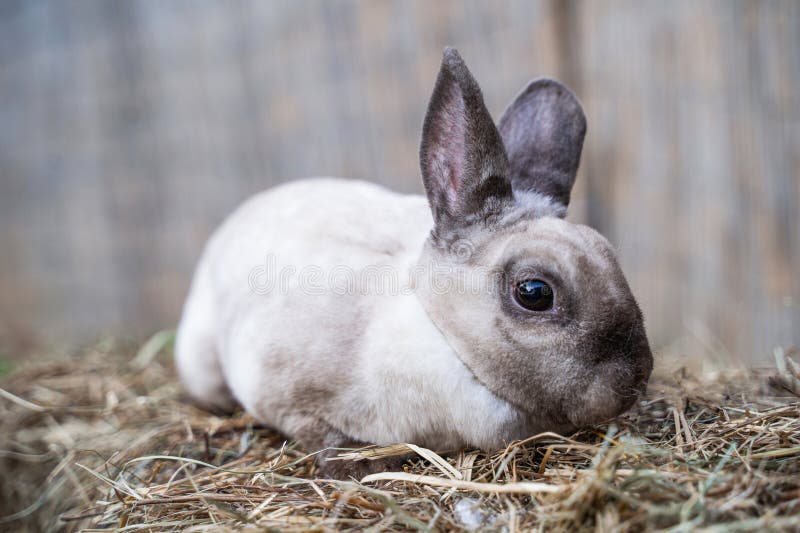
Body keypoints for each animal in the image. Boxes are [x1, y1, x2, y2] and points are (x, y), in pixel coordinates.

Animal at [175, 47, 653, 479]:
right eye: (534, 293)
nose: (634, 380)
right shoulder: (281, 389)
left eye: (608, 252)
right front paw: (359, 464)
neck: (436, 328)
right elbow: (316, 432)